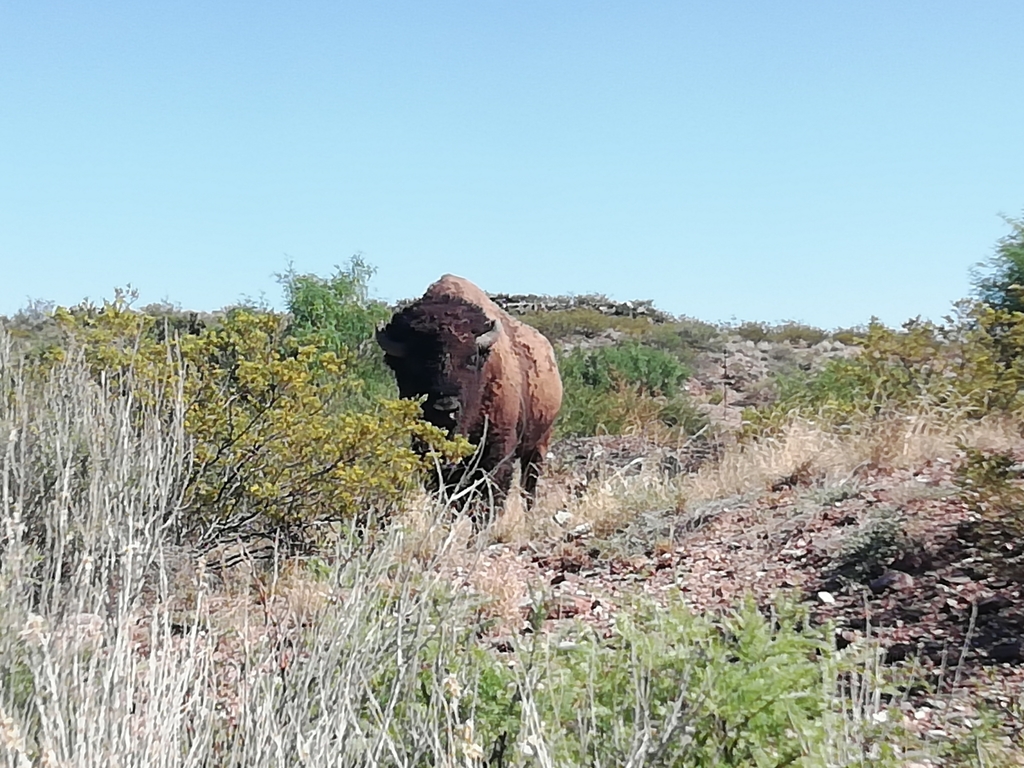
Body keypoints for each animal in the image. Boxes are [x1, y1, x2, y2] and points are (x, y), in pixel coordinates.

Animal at [376, 274, 563, 515]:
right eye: (412, 365)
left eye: (472, 359)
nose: (446, 408)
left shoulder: (498, 445)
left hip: (539, 442)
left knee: (529, 484)